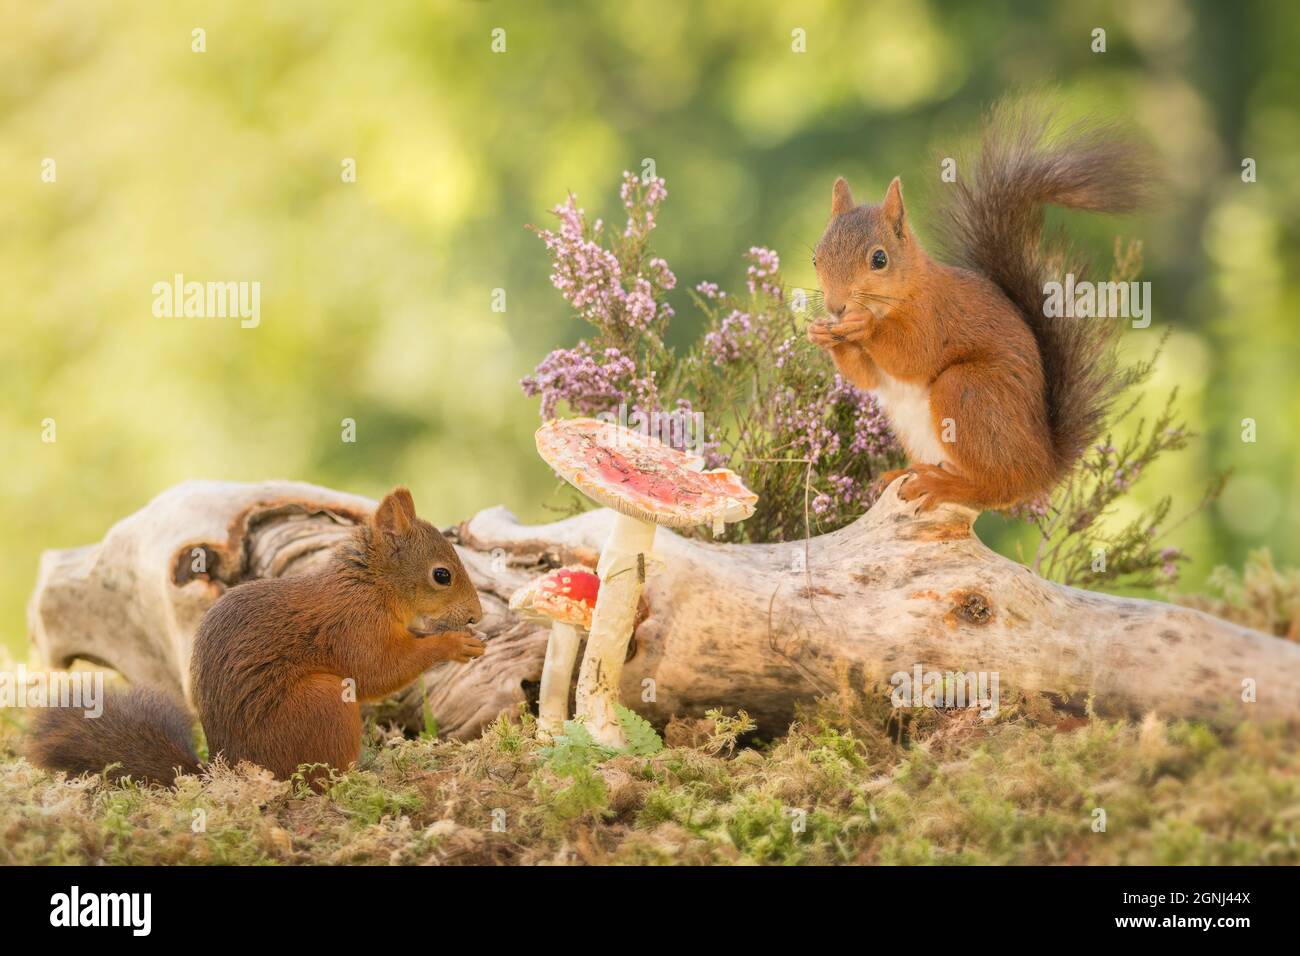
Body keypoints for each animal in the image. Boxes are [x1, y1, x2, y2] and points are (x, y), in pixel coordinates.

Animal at [28, 487, 485, 787]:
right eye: (441, 575)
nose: (476, 616)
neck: (371, 585)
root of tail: (229, 769)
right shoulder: (353, 626)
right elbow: (378, 670)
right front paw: (452, 644)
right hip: (321, 703)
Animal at [807, 102, 1155, 510]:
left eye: (879, 259)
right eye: (816, 258)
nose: (836, 307)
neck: (907, 290)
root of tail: (1044, 466)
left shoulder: (934, 316)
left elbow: (914, 354)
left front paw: (865, 327)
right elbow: (865, 377)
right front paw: (821, 333)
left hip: (968, 393)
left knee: (999, 487)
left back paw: (946, 486)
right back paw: (903, 474)